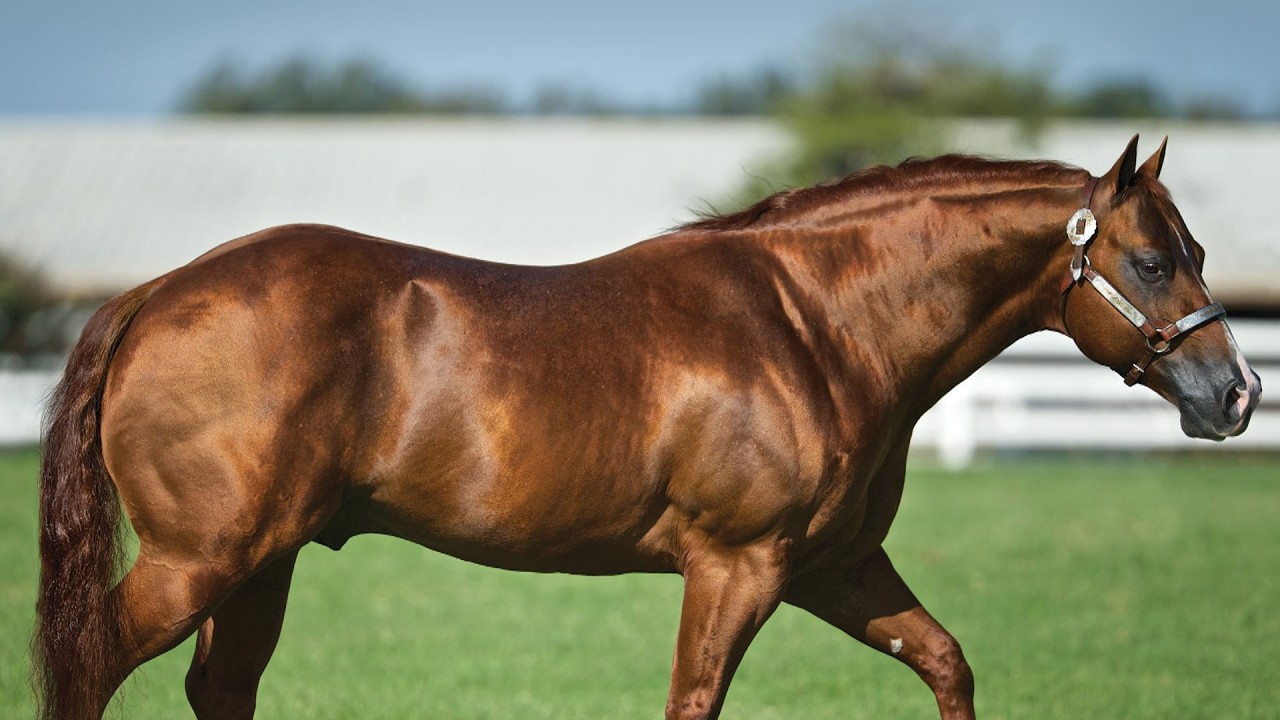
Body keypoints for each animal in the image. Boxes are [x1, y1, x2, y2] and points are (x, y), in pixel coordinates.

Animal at [34, 135, 1261, 720]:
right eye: (1154, 260)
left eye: (1193, 251)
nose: (1236, 394)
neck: (812, 323)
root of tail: (162, 291)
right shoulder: (735, 567)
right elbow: (693, 701)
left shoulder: (834, 567)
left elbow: (946, 664)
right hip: (201, 562)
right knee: (90, 667)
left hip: (259, 564)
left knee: (217, 691)